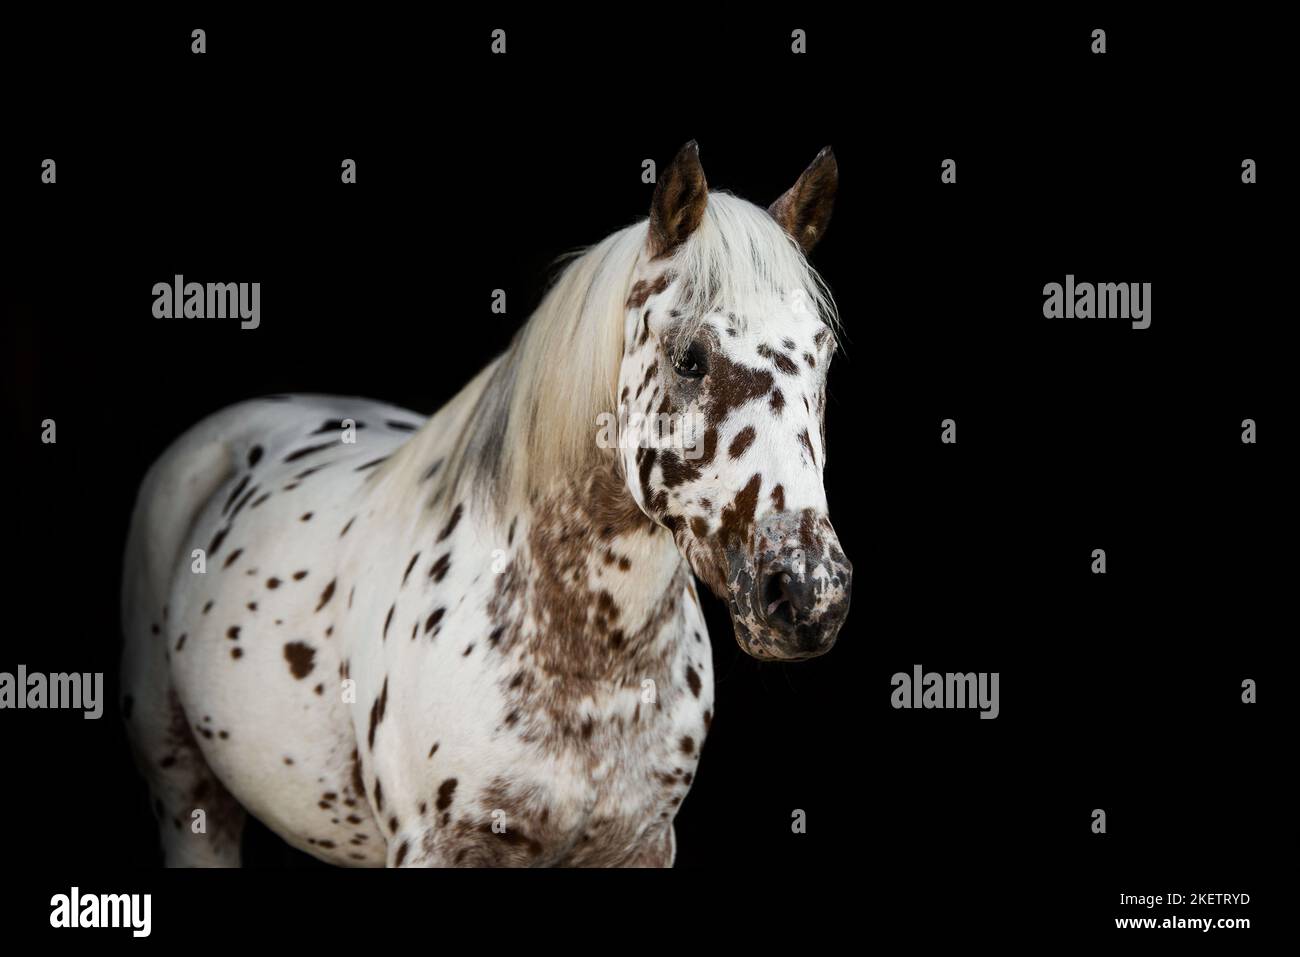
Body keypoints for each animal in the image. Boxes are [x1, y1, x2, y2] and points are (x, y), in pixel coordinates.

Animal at [119, 142, 853, 867]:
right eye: (690, 357)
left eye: (820, 356)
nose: (807, 591)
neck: (589, 663)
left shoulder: (643, 844)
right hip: (189, 801)